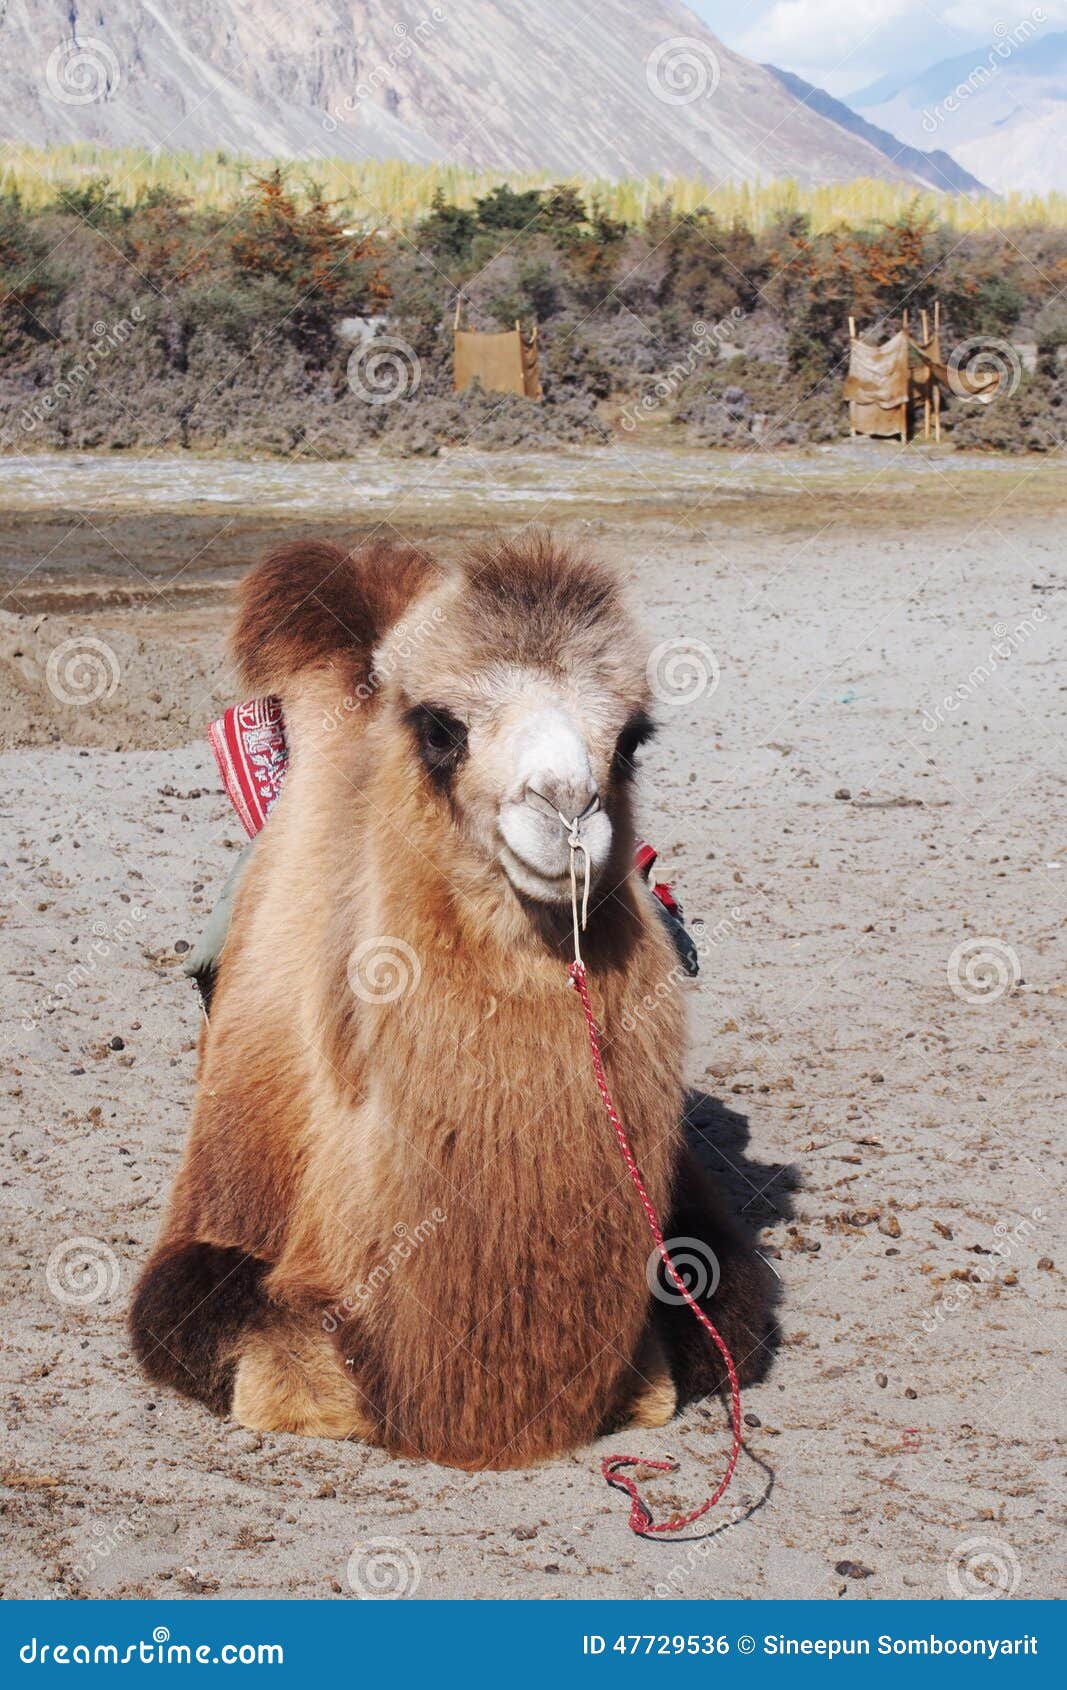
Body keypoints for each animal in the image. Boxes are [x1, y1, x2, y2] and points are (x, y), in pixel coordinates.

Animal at [129, 534, 773, 1469]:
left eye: (631, 740)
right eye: (441, 727)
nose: (566, 813)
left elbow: (717, 1323)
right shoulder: (213, 1224)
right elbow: (272, 1361)